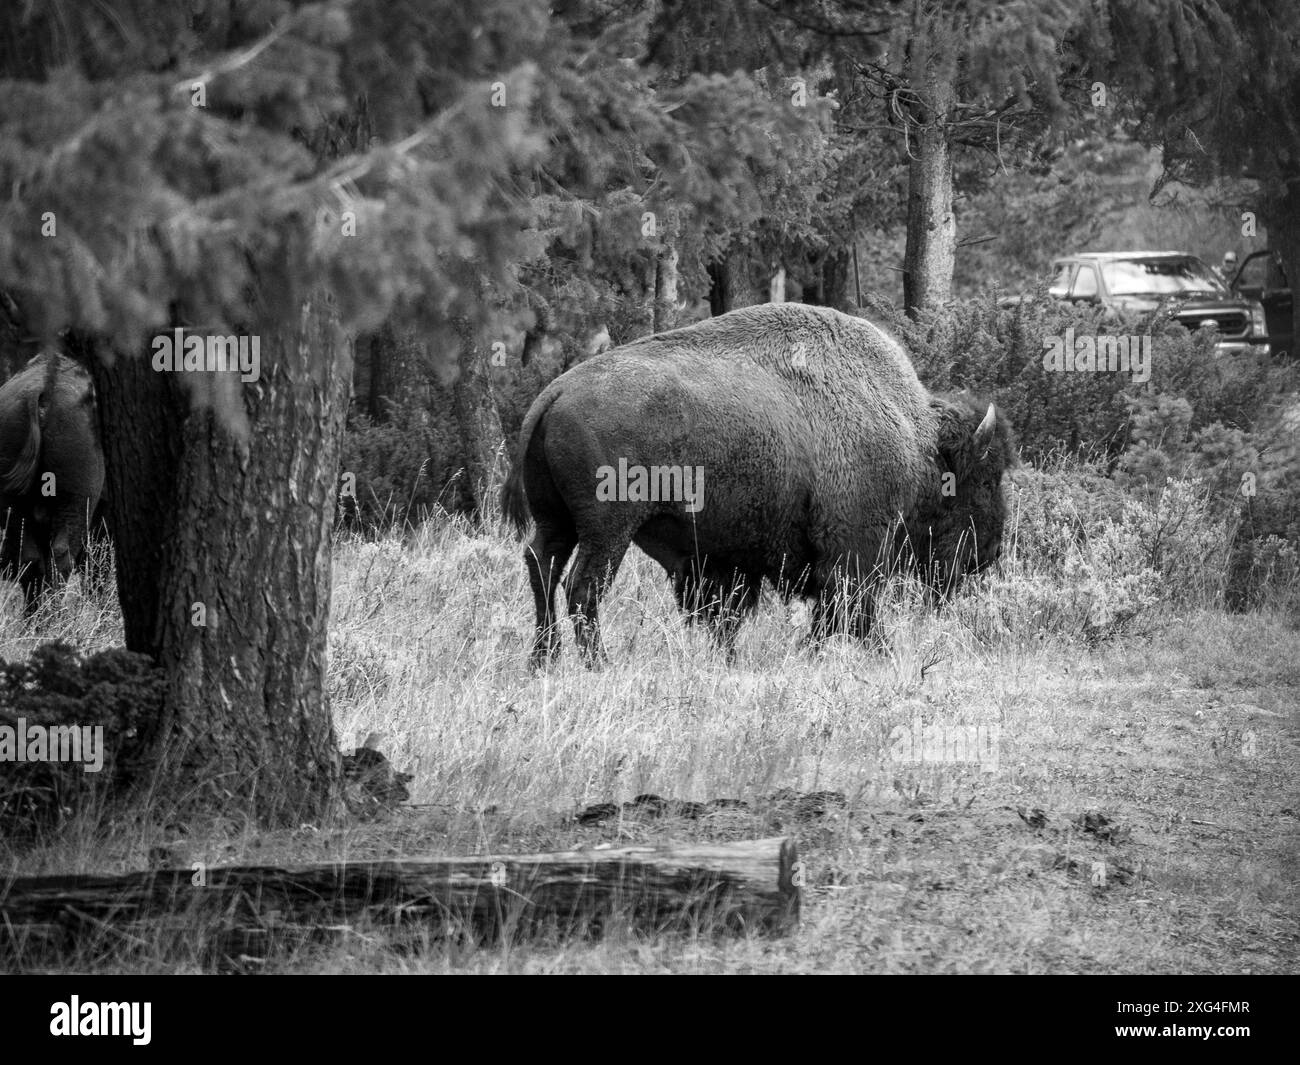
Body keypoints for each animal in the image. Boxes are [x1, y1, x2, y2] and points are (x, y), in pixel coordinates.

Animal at [502, 303, 1015, 665]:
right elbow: (851, 613)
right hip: (609, 530)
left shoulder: (729, 559)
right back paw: (598, 664)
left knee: (542, 568)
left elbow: (734, 614)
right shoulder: (854, 550)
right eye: (986, 481)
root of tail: (555, 392)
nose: (988, 554)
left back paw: (543, 661)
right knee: (583, 587)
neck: (912, 435)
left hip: (556, 521)